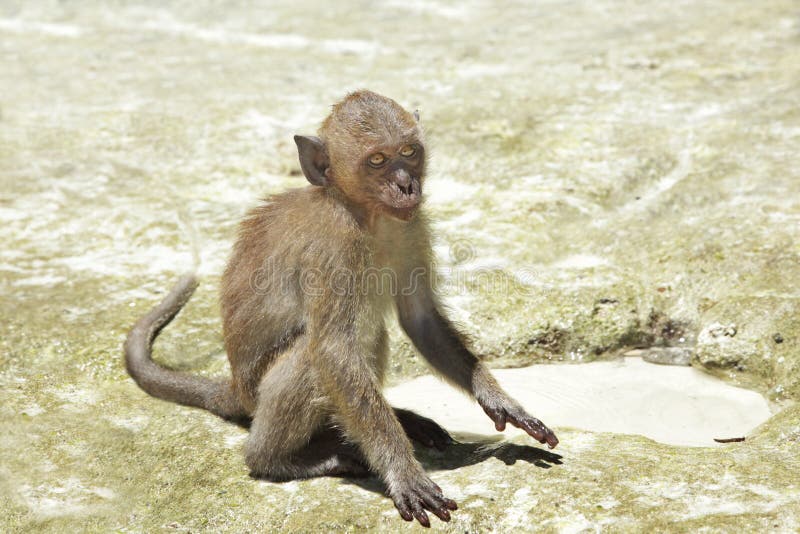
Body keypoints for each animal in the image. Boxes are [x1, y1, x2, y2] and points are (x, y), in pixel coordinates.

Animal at [125, 90, 558, 527]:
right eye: (377, 160)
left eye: (408, 152)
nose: (407, 185)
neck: (367, 215)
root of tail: (235, 388)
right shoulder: (333, 249)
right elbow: (333, 348)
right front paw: (402, 472)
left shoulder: (412, 227)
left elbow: (421, 321)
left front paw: (499, 400)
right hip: (257, 392)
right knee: (312, 354)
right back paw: (276, 459)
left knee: (370, 335)